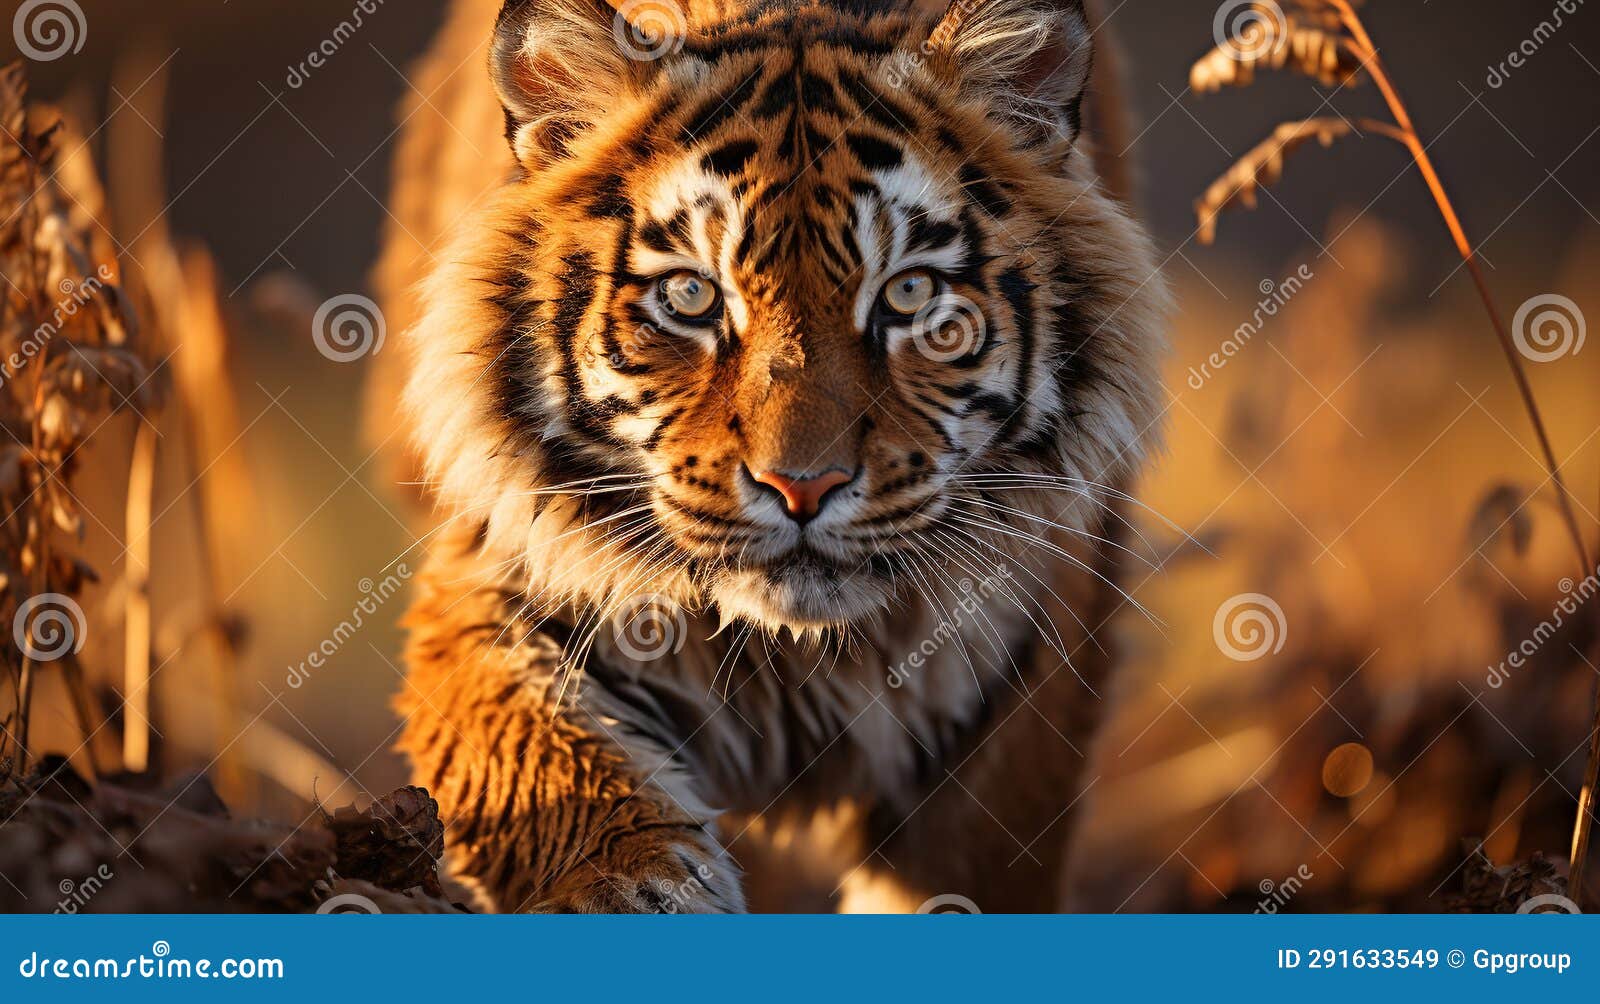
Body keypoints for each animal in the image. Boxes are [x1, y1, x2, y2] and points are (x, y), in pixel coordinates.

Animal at [380, 0, 1166, 912]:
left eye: (909, 293)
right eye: (690, 296)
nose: (802, 486)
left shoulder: (1033, 657)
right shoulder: (495, 572)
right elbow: (546, 764)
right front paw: (640, 887)